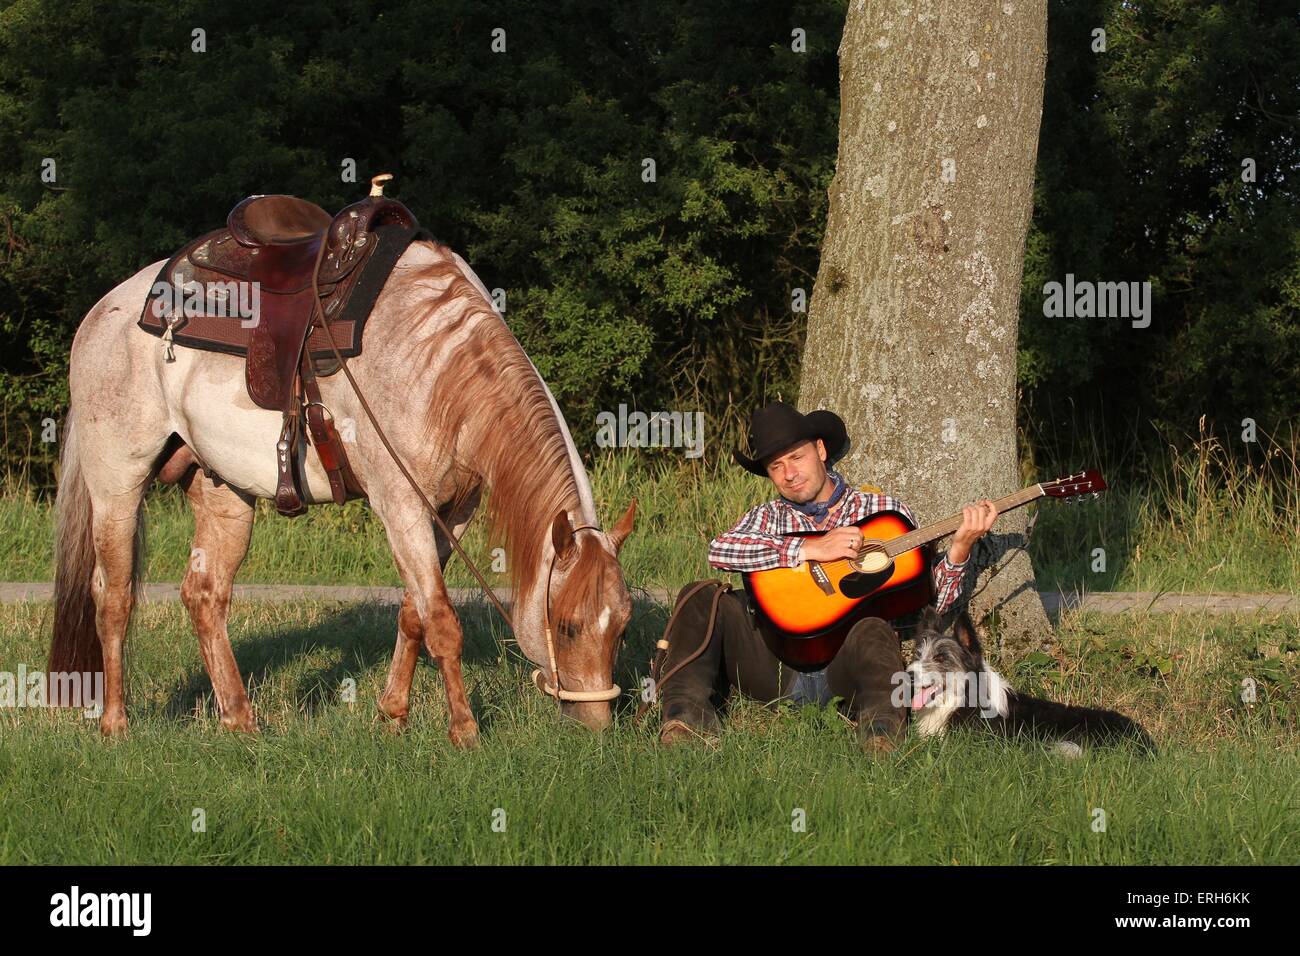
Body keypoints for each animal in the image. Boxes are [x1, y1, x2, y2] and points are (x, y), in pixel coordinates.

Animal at [47, 236, 635, 747]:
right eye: (568, 626)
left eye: (624, 628)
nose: (597, 726)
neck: (434, 364)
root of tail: (99, 315)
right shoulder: (400, 503)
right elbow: (442, 620)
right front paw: (464, 731)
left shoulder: (451, 511)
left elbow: (414, 610)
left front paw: (392, 715)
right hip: (116, 485)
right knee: (113, 596)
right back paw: (116, 724)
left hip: (222, 491)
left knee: (205, 594)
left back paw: (241, 721)